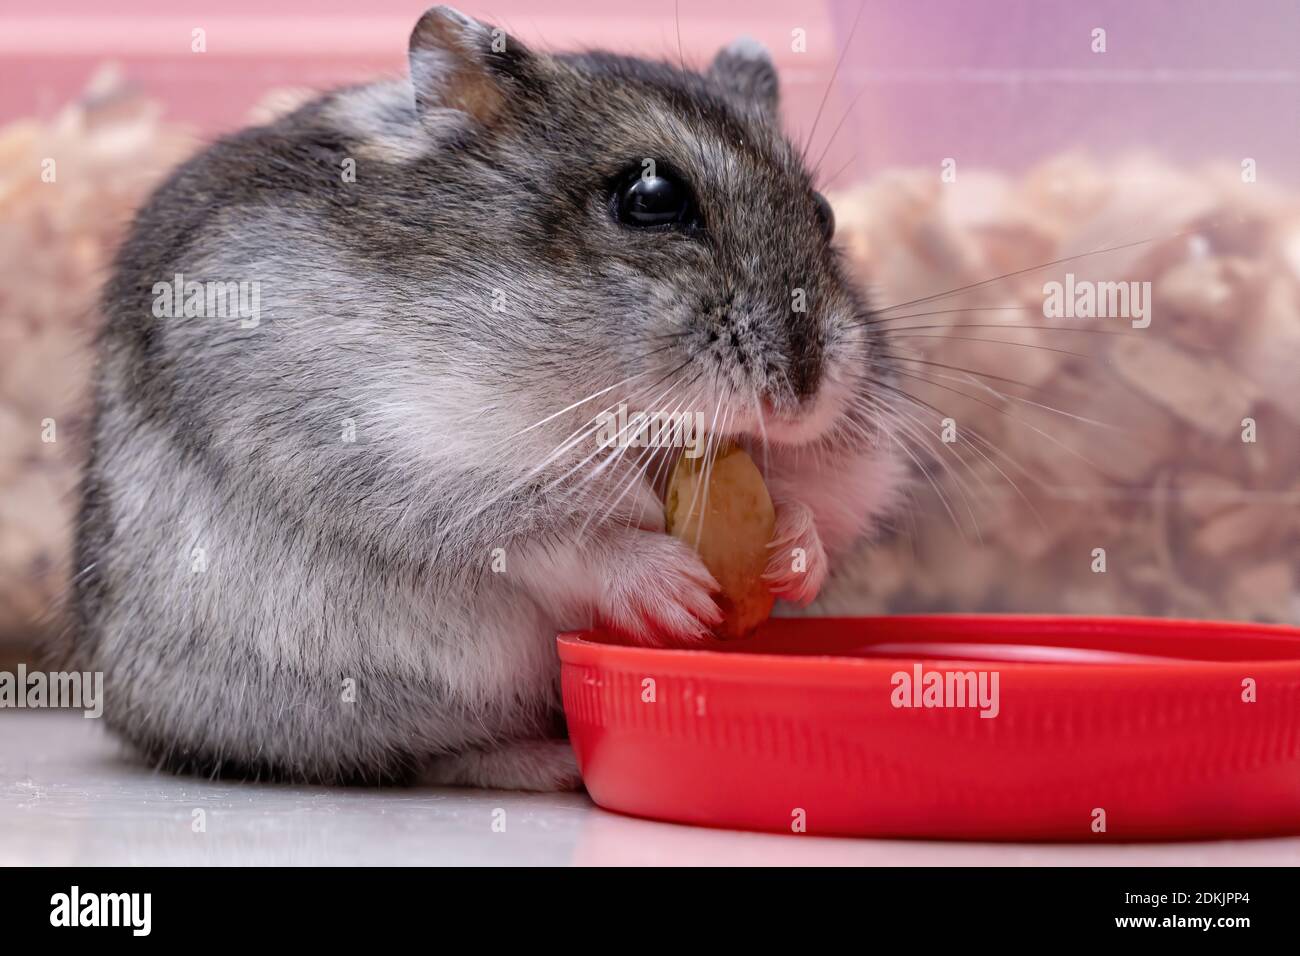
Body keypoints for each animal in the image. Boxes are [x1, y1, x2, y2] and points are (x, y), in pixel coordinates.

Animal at [67, 6, 902, 789]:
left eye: (824, 214)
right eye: (650, 196)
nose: (800, 396)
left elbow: (820, 499)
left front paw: (794, 557)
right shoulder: (416, 457)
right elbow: (552, 536)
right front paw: (679, 592)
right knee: (423, 754)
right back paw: (546, 763)